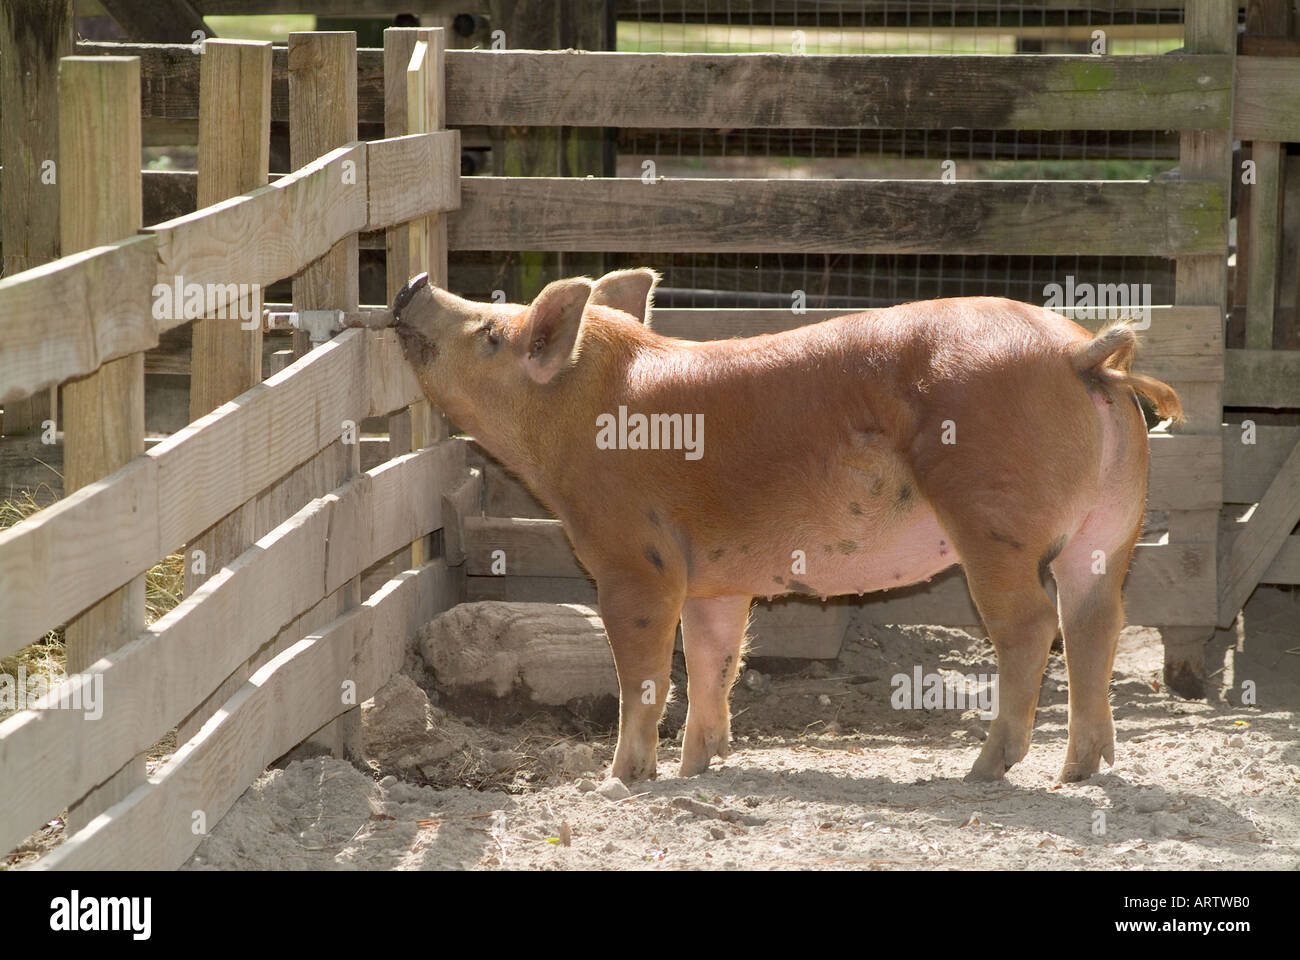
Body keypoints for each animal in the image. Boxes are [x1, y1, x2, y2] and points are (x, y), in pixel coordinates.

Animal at [377, 268, 1182, 785]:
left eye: (491, 331)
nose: (412, 284)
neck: (586, 417)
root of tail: (1081, 353)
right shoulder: (714, 578)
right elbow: (713, 659)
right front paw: (698, 765)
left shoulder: (634, 557)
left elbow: (644, 670)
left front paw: (619, 780)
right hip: (1110, 528)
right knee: (1095, 622)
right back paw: (1081, 770)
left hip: (993, 521)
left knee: (1031, 626)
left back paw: (981, 771)